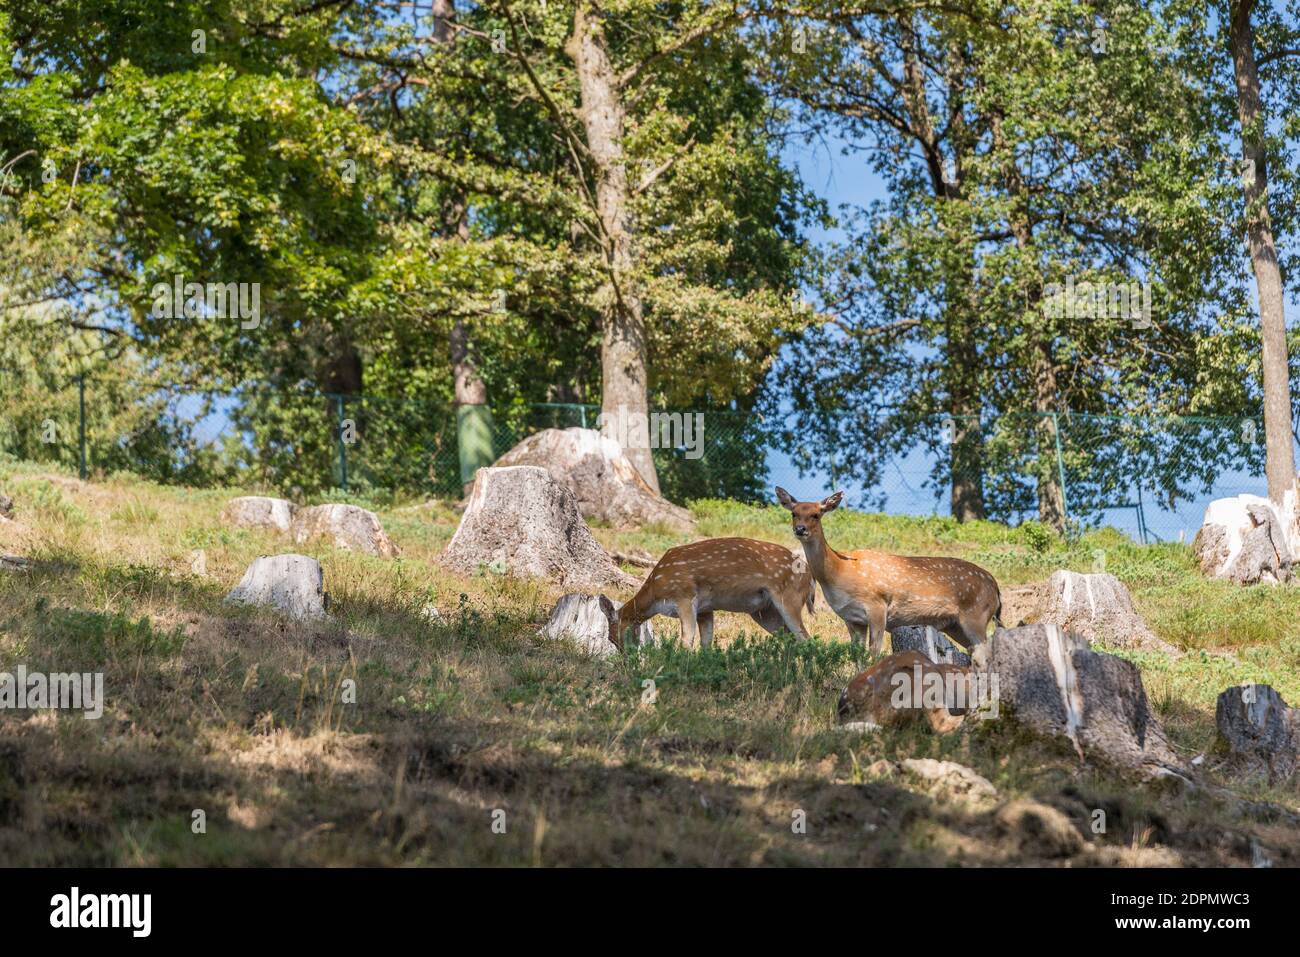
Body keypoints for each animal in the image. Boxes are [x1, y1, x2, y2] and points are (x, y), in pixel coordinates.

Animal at [599, 537, 815, 651]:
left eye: (611, 637)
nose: (626, 660)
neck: (655, 591)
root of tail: (810, 576)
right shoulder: (705, 610)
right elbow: (705, 644)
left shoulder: (685, 597)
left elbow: (686, 641)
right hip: (764, 612)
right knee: (792, 639)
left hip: (789, 598)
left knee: (806, 638)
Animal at [775, 487, 1002, 655]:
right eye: (794, 513)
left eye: (816, 514)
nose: (800, 529)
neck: (839, 573)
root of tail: (995, 587)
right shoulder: (852, 618)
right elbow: (857, 656)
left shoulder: (877, 606)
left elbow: (874, 653)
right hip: (955, 625)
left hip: (976, 614)